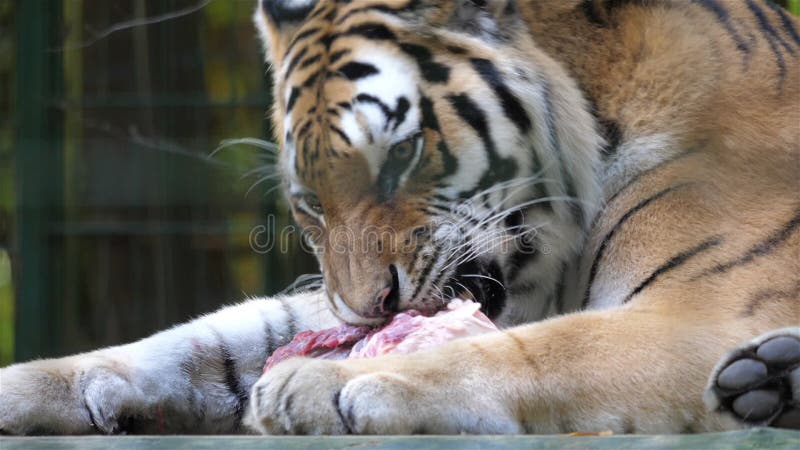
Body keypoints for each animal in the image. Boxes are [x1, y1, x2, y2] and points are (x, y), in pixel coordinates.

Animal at [1, 0, 798, 435]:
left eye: (402, 155)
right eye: (310, 201)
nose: (369, 309)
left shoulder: (701, 308)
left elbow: (543, 350)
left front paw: (322, 385)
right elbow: (208, 339)